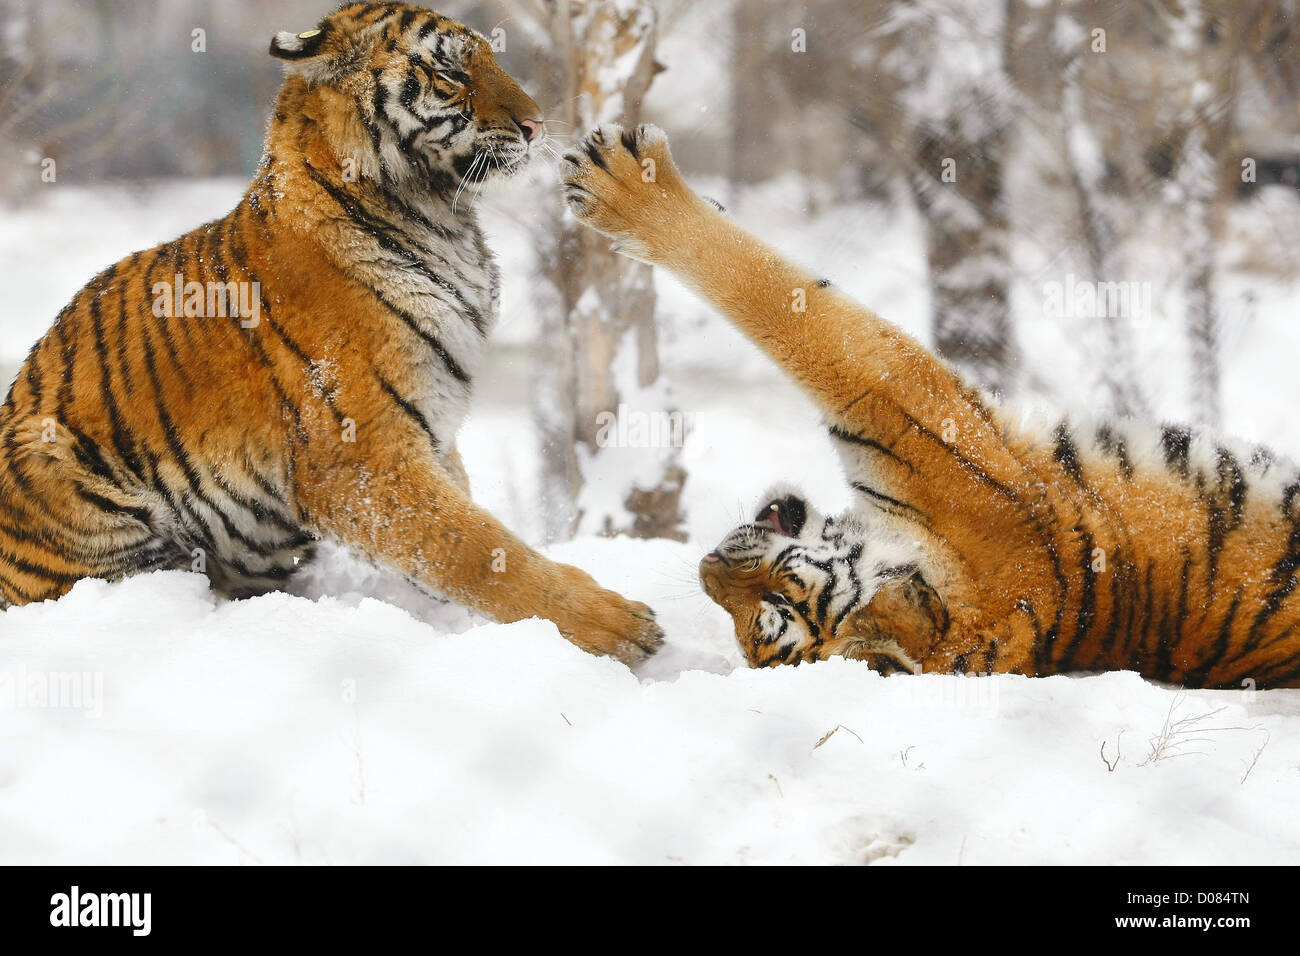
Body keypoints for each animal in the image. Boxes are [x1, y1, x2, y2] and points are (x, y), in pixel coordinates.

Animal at [0, 3, 663, 666]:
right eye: (450, 73)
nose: (535, 124)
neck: (441, 220)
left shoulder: (431, 430)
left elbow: (465, 531)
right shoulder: (362, 462)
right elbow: (472, 548)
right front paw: (616, 625)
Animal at [562, 122, 1300, 689]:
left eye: (777, 601)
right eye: (738, 624)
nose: (707, 564)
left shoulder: (897, 400)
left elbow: (775, 298)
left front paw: (628, 186)